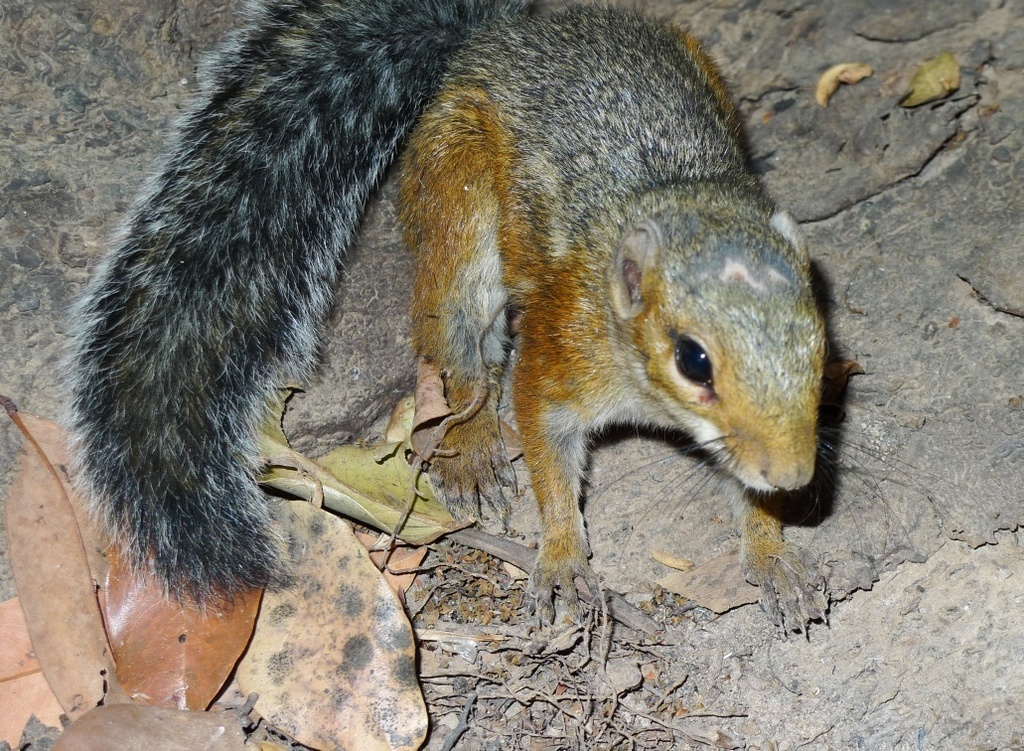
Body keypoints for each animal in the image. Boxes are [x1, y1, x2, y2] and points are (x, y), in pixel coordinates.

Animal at [67, 0, 828, 630]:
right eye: (693, 360)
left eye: (821, 345)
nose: (795, 476)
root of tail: (496, 34)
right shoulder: (560, 354)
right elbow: (546, 446)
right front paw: (563, 559)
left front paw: (772, 554)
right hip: (457, 194)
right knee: (455, 345)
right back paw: (470, 443)